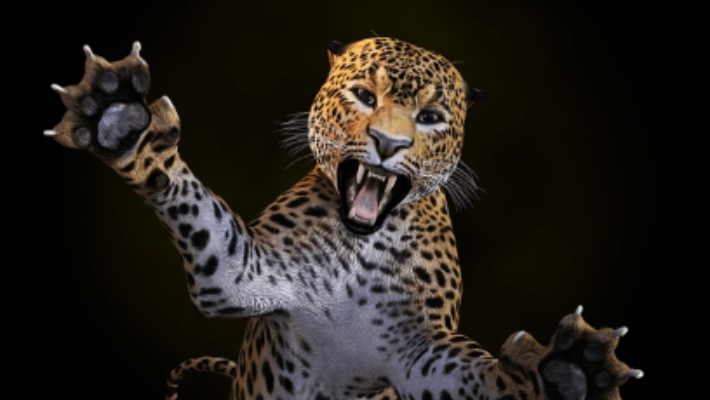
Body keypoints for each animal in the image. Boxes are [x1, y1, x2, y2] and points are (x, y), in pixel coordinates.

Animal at [45, 38, 643, 400]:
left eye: (430, 117)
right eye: (363, 95)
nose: (388, 143)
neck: (362, 246)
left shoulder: (420, 354)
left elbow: (485, 375)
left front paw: (571, 371)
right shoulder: (242, 276)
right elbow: (194, 204)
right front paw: (119, 118)